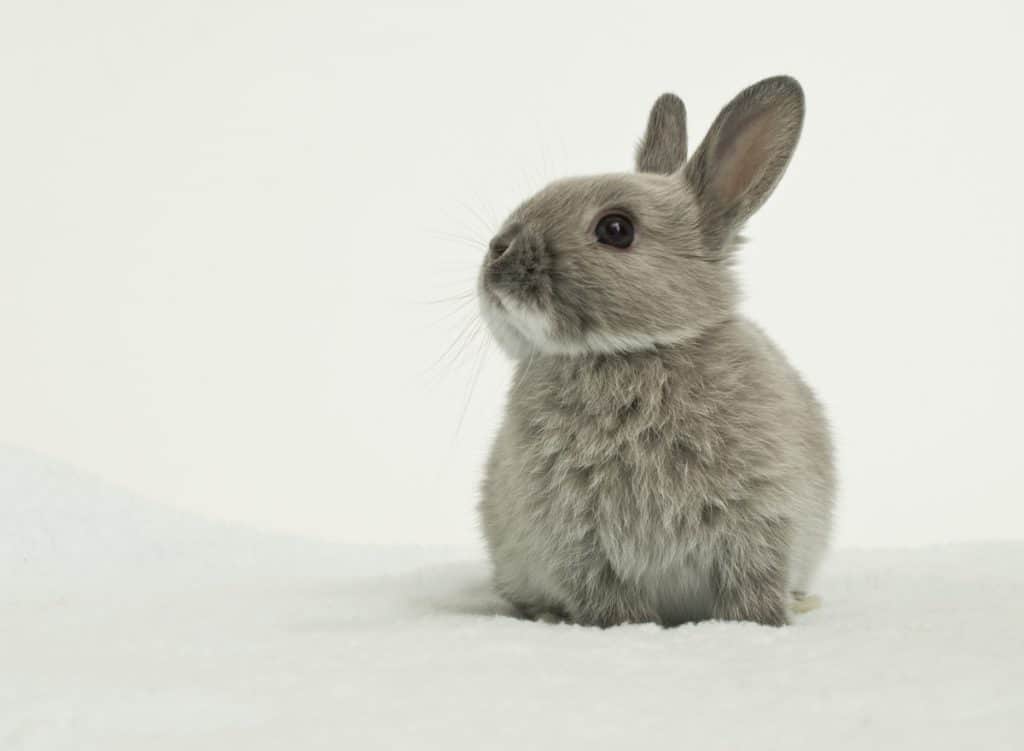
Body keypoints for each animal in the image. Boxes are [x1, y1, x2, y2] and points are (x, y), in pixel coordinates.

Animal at [477, 76, 834, 627]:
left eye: (616, 229)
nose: (499, 252)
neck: (631, 354)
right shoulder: (579, 546)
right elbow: (611, 604)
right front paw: (627, 628)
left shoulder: (760, 525)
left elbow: (752, 592)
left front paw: (761, 624)